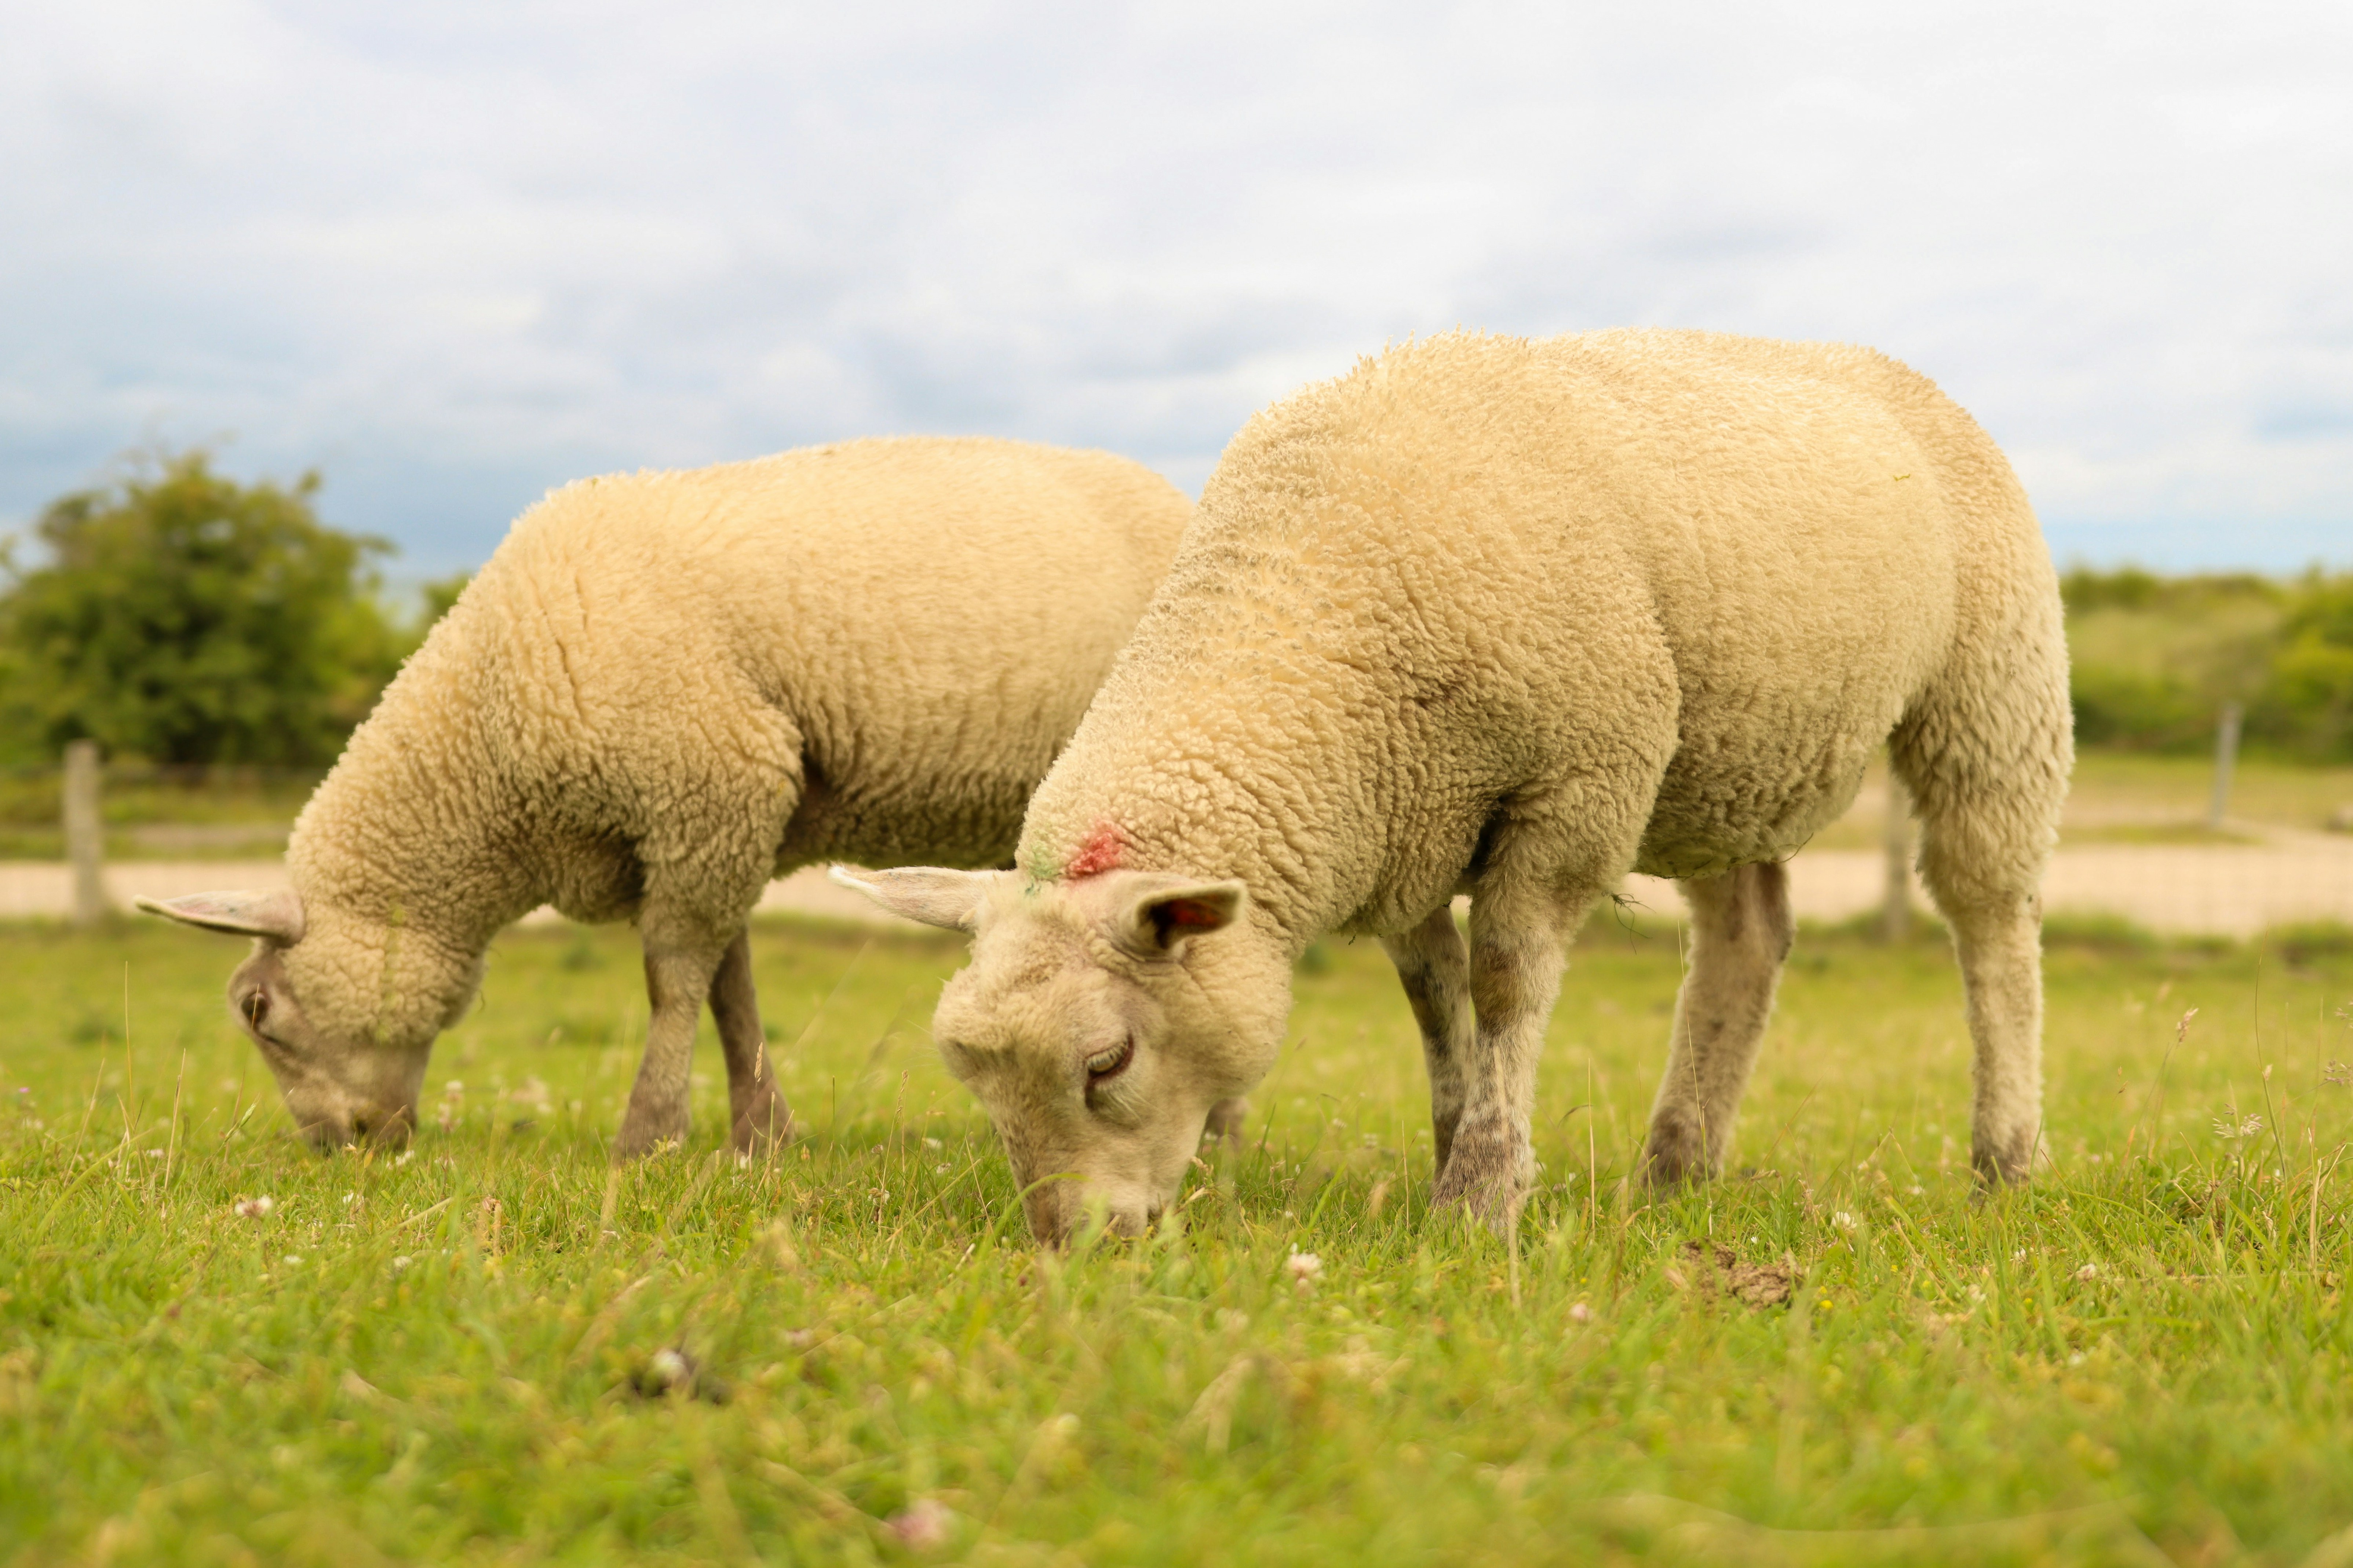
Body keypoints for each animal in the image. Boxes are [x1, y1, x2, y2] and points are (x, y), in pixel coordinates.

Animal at [138, 437, 1194, 1157]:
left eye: (256, 1010)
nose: (332, 1147)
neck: (487, 742)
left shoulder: (715, 781)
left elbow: (673, 975)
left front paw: (648, 1136)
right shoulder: (716, 821)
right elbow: (731, 984)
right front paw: (760, 1135)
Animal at [836, 329, 2073, 1242]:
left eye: (1108, 1062)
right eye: (973, 1076)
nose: (1071, 1247)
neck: (1301, 610)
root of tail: (1881, 365)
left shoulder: (1572, 789)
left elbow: (1505, 983)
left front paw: (1482, 1197)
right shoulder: (1401, 823)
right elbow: (1435, 1001)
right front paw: (1452, 1149)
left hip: (1989, 681)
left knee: (1988, 913)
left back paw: (2004, 1159)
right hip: (1720, 752)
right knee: (1745, 936)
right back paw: (1674, 1168)